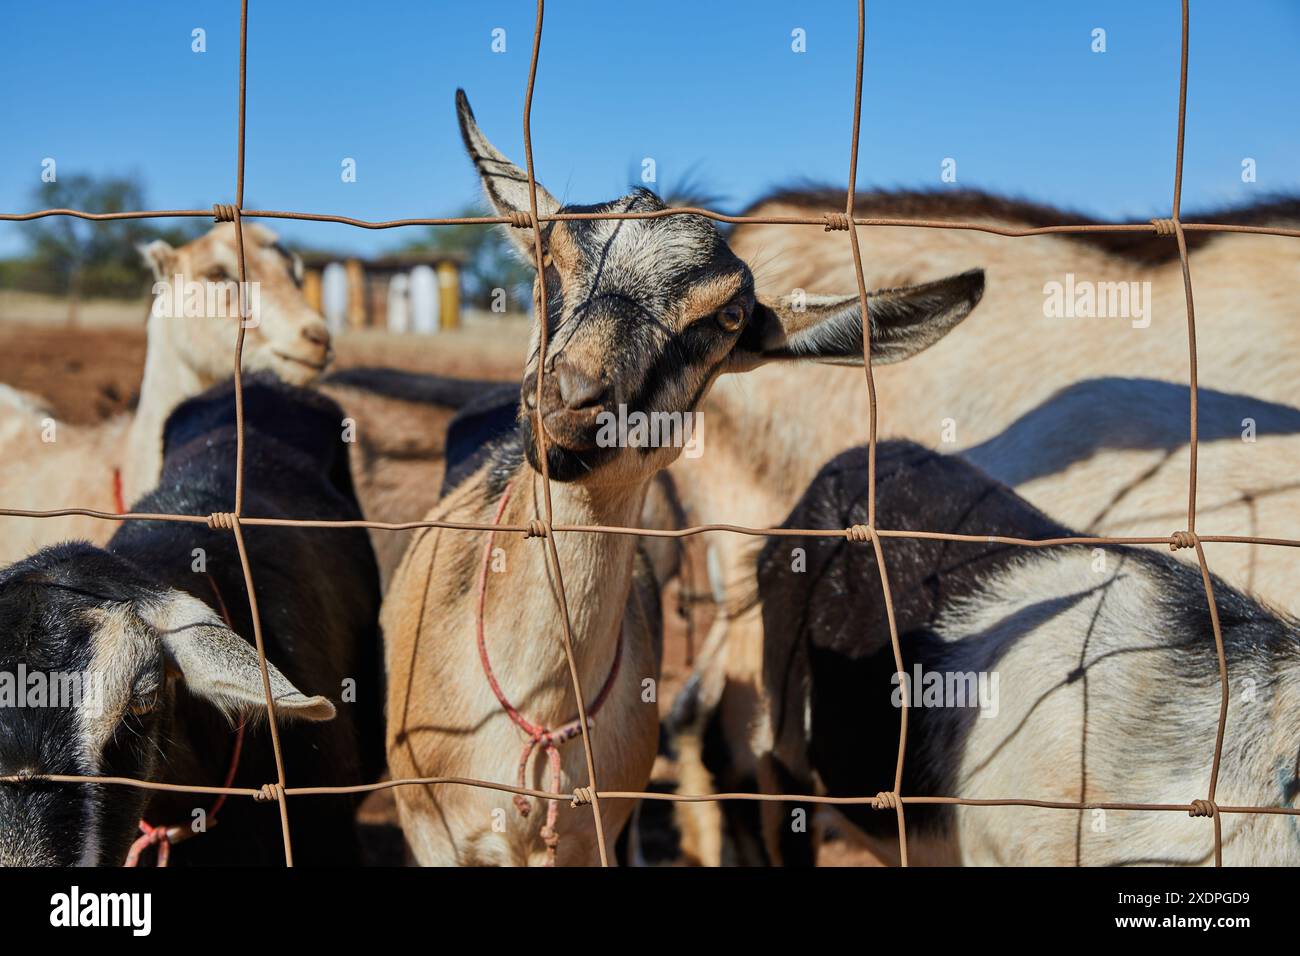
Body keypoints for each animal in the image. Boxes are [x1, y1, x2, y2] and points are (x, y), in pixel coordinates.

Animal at [381, 90, 986, 866]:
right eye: (551, 253)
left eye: (727, 316)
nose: (572, 399)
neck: (537, 715)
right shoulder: (430, 828)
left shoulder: (594, 831)